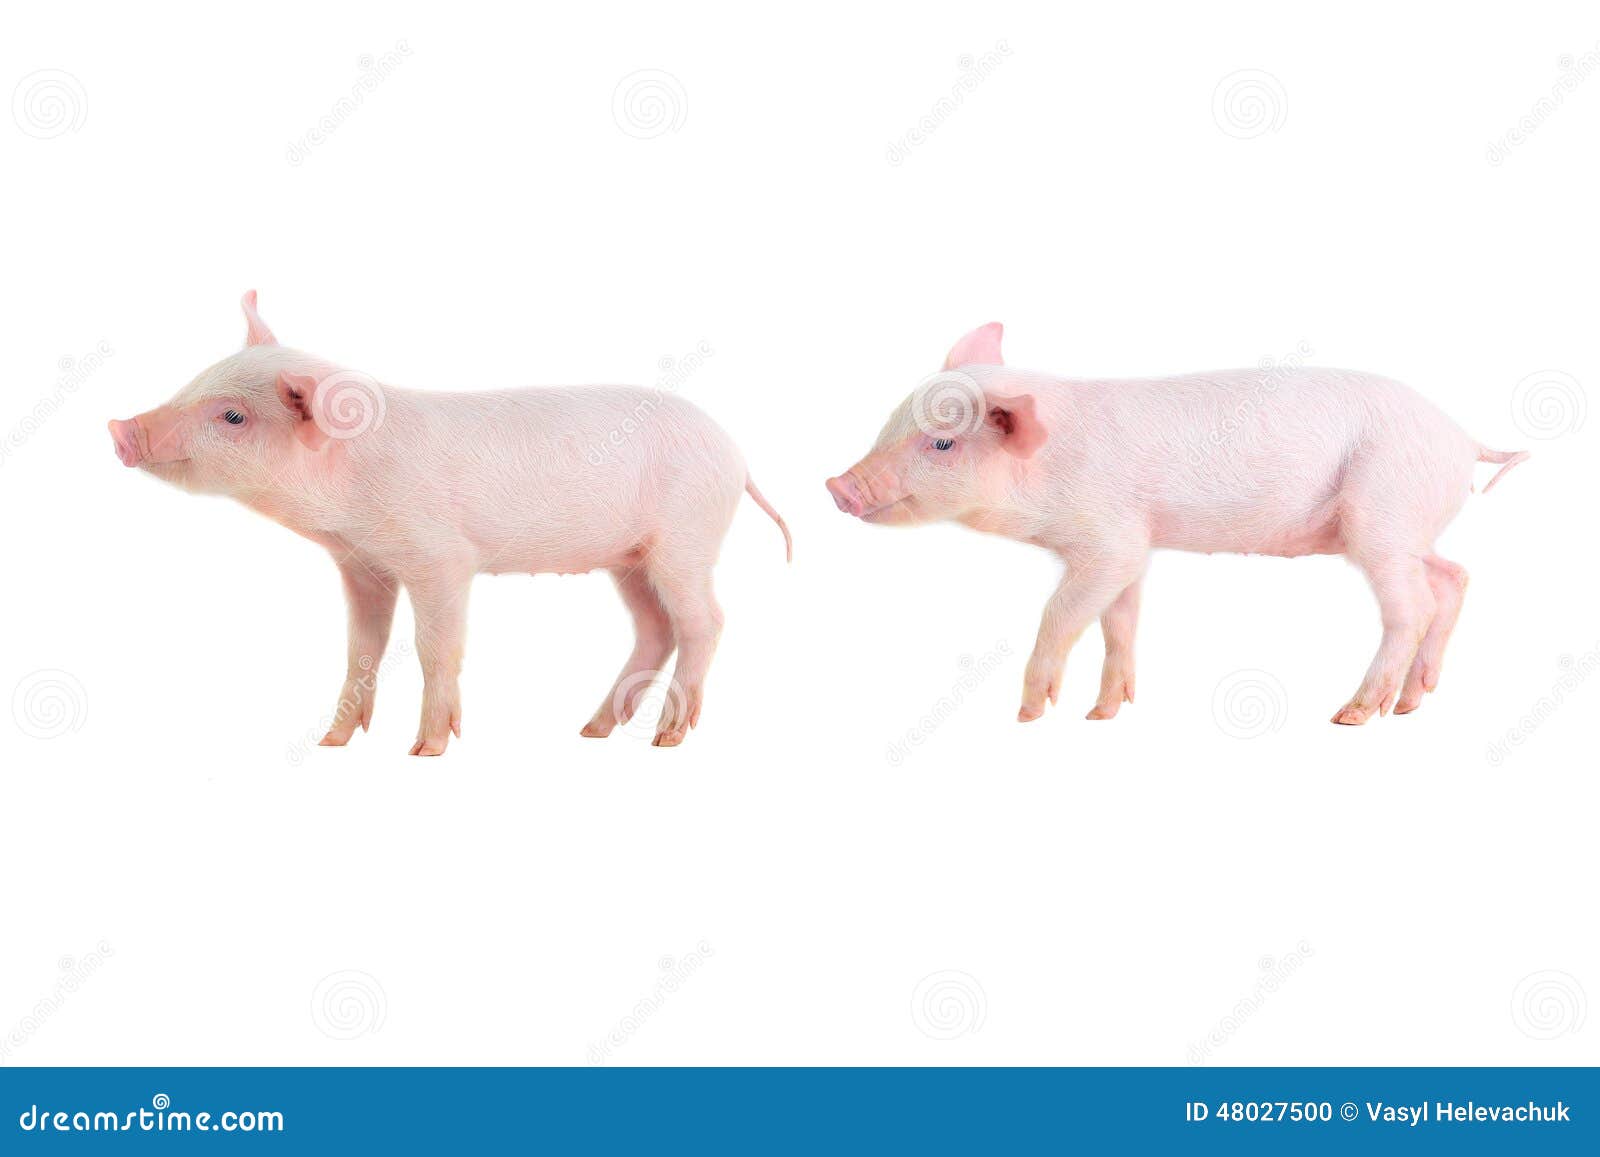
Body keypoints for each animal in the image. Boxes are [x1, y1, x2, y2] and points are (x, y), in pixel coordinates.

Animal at [109, 292, 791, 754]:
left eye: (232, 416)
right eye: (196, 380)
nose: (120, 428)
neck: (345, 495)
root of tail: (737, 456)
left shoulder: (441, 558)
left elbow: (436, 646)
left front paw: (426, 750)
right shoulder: (363, 564)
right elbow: (361, 648)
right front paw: (333, 741)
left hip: (686, 538)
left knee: (705, 621)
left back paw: (667, 738)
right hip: (630, 558)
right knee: (655, 628)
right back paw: (592, 730)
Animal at [826, 323, 1528, 726]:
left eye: (942, 444)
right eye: (891, 422)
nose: (836, 486)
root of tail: (1463, 438)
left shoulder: (1107, 539)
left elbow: (1062, 612)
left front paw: (1028, 716)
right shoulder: (1135, 545)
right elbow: (1119, 620)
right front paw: (1103, 714)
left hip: (1381, 511)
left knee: (1410, 607)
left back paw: (1354, 716)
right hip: (1409, 529)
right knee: (1453, 577)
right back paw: (1412, 703)